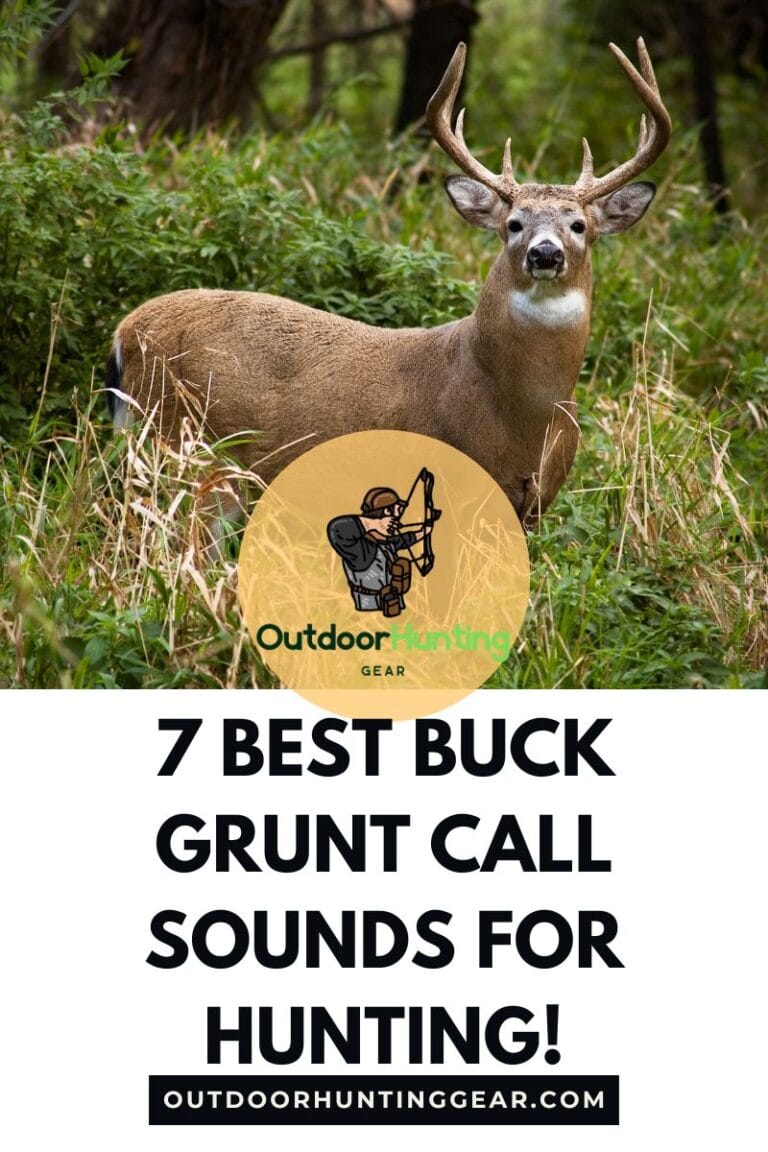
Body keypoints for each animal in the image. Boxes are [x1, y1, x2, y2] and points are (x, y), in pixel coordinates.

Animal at [105, 38, 670, 531]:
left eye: (579, 226)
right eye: (513, 223)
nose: (545, 253)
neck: (524, 412)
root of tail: (125, 330)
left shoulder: (534, 505)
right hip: (182, 443)